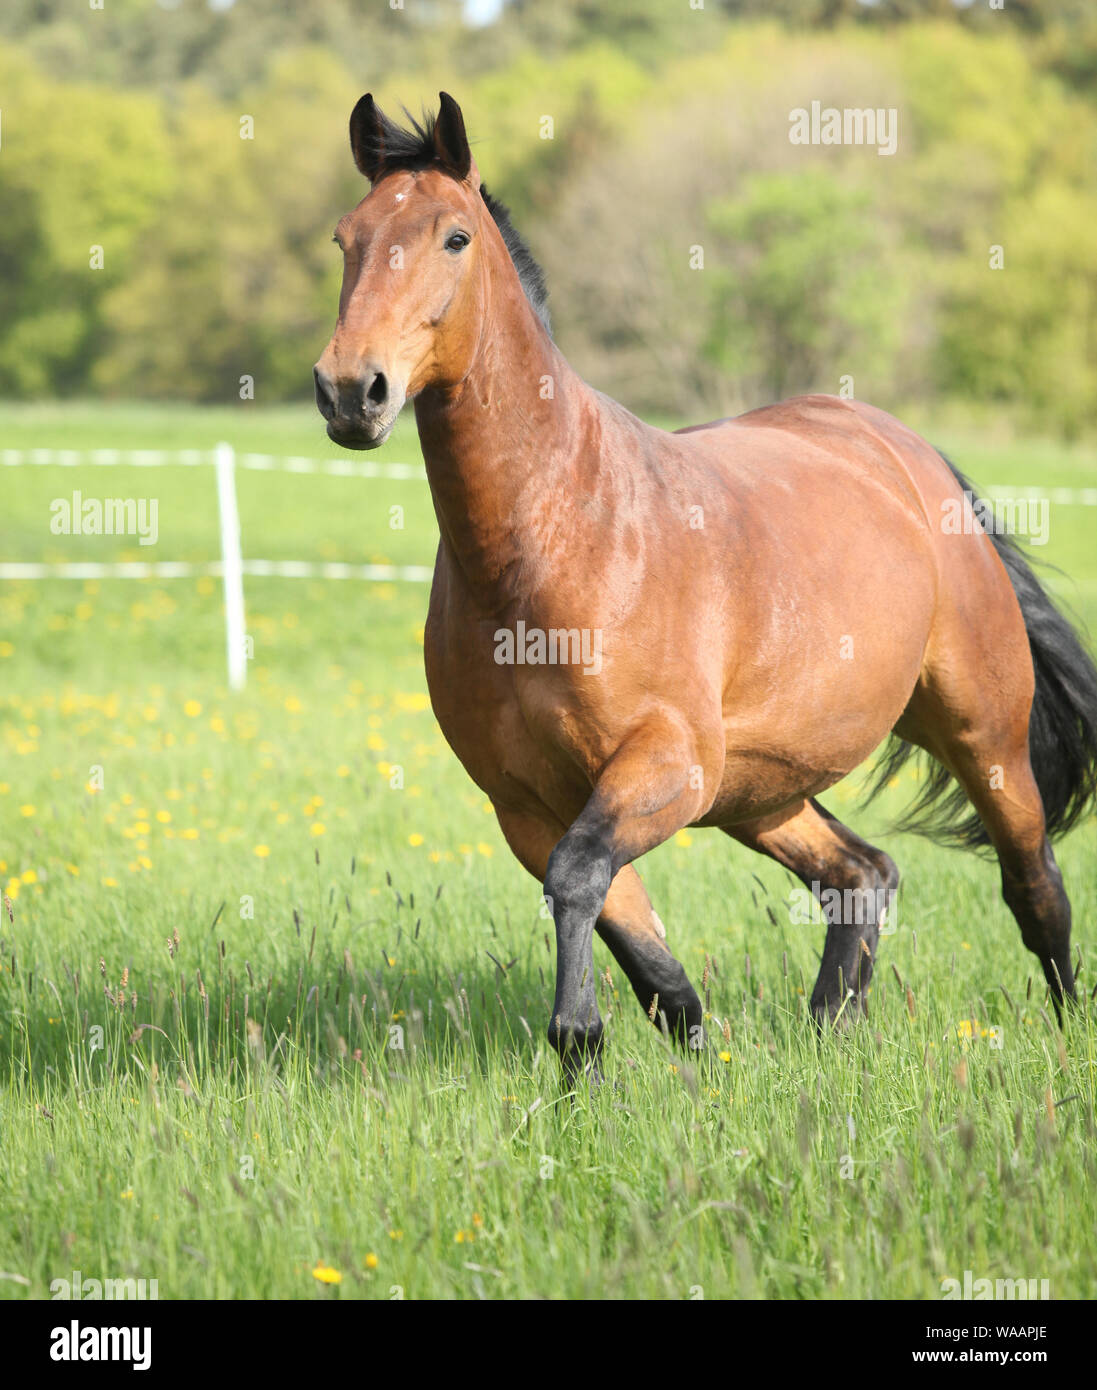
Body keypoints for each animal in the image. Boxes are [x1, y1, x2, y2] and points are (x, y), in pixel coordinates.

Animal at [314, 92, 1097, 1079]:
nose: (352, 392)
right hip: (762, 789)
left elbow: (581, 881)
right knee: (859, 874)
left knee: (1035, 887)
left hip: (979, 736)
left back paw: (1062, 1031)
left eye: (452, 237)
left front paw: (578, 1040)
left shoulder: (665, 766)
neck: (556, 540)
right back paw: (831, 1025)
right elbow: (625, 932)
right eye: (346, 237)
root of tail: (910, 456)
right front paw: (668, 1049)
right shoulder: (526, 804)